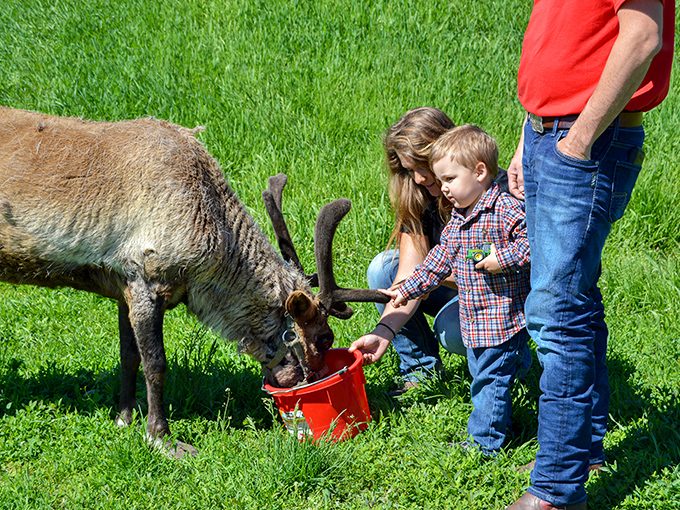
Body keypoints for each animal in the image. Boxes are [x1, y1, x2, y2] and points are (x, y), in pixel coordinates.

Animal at [0, 106, 388, 457]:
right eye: (325, 338)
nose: (309, 383)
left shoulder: (123, 285)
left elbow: (128, 355)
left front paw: (124, 418)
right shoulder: (147, 280)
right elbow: (156, 364)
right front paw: (161, 437)